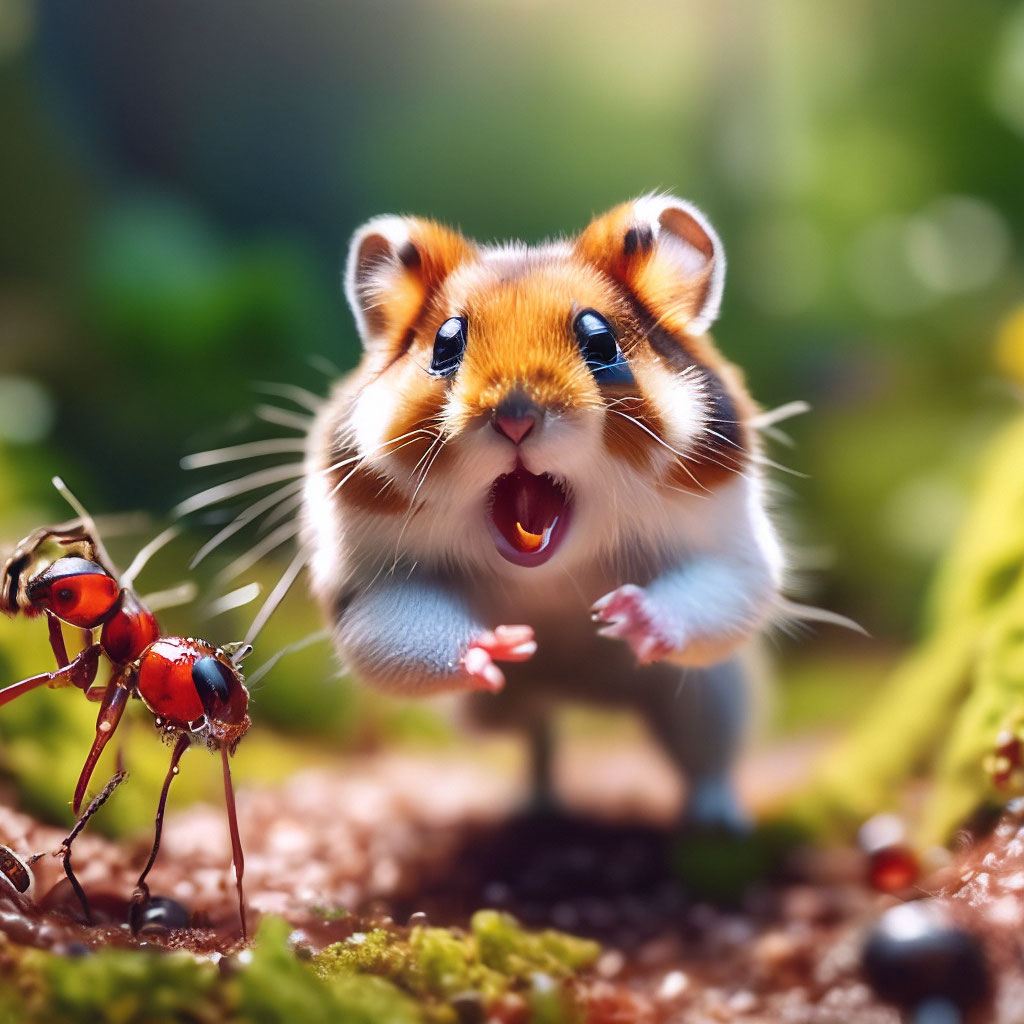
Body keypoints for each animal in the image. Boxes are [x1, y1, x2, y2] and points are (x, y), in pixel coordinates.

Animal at [302, 194, 784, 828]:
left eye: (600, 340)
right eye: (446, 344)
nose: (515, 418)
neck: (548, 576)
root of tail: (575, 691)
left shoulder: (734, 550)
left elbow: (722, 590)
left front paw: (623, 616)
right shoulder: (371, 586)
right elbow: (397, 631)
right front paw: (502, 646)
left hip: (711, 698)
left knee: (707, 758)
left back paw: (720, 822)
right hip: (494, 716)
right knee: (537, 737)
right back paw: (533, 805)